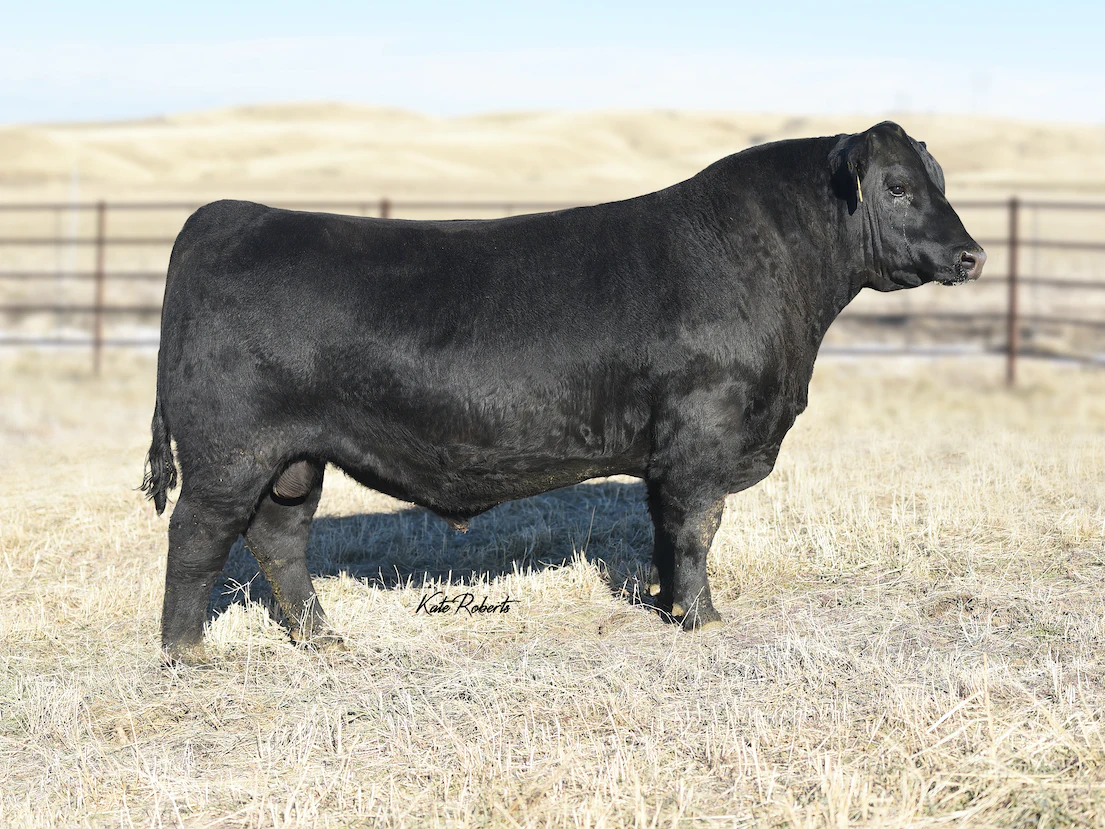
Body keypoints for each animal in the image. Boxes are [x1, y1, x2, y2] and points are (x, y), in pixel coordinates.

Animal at [142, 121, 985, 664]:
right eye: (897, 187)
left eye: (937, 181)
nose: (970, 255)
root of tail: (225, 215)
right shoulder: (701, 440)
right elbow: (696, 530)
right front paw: (704, 620)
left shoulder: (665, 455)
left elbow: (664, 533)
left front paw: (668, 605)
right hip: (230, 453)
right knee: (197, 535)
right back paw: (186, 652)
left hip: (293, 459)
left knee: (280, 539)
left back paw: (322, 637)